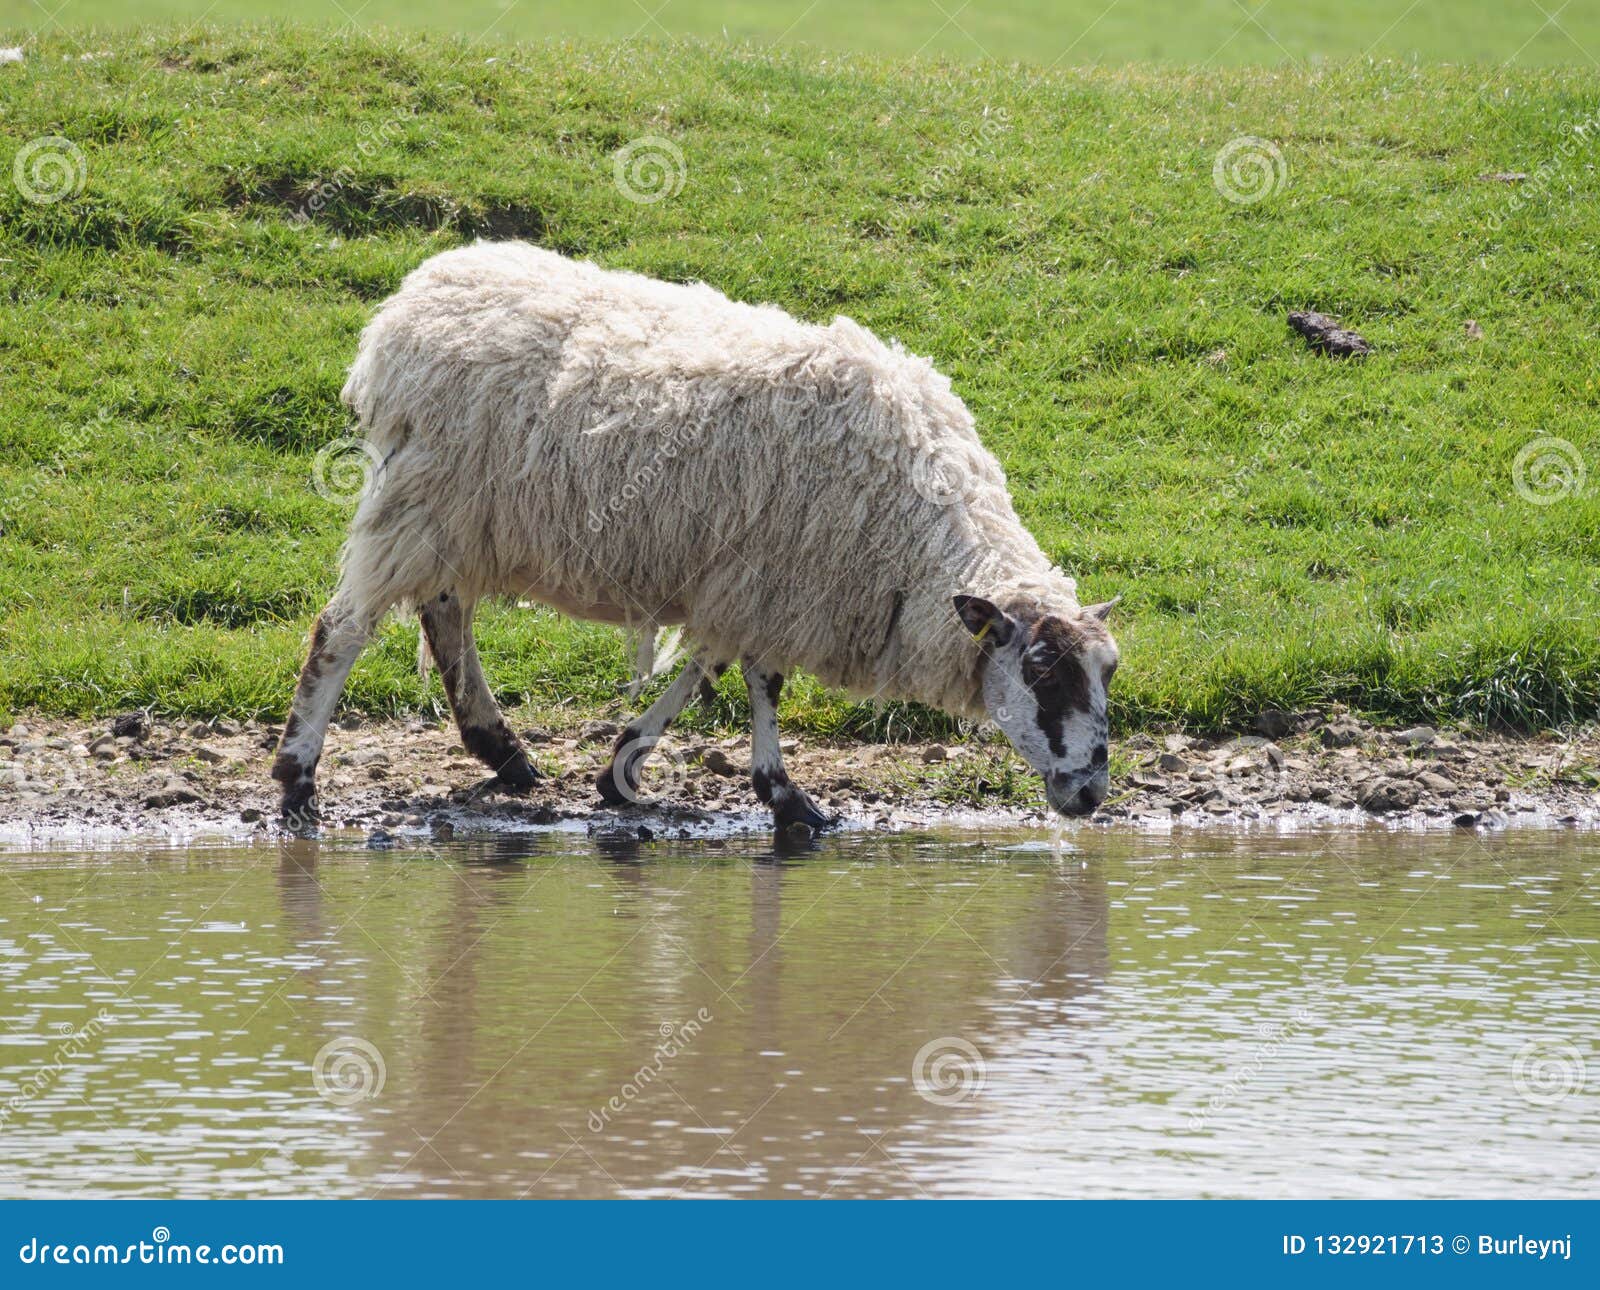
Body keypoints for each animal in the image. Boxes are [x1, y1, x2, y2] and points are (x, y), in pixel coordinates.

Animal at [273, 242, 1120, 827]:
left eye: (1106, 673)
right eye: (1042, 676)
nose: (1090, 793)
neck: (915, 536)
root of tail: (410, 304)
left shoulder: (741, 581)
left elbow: (707, 663)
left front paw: (623, 765)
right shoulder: (777, 578)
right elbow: (760, 679)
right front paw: (783, 796)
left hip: (457, 518)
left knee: (445, 614)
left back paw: (502, 750)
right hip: (421, 499)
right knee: (342, 631)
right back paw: (297, 774)